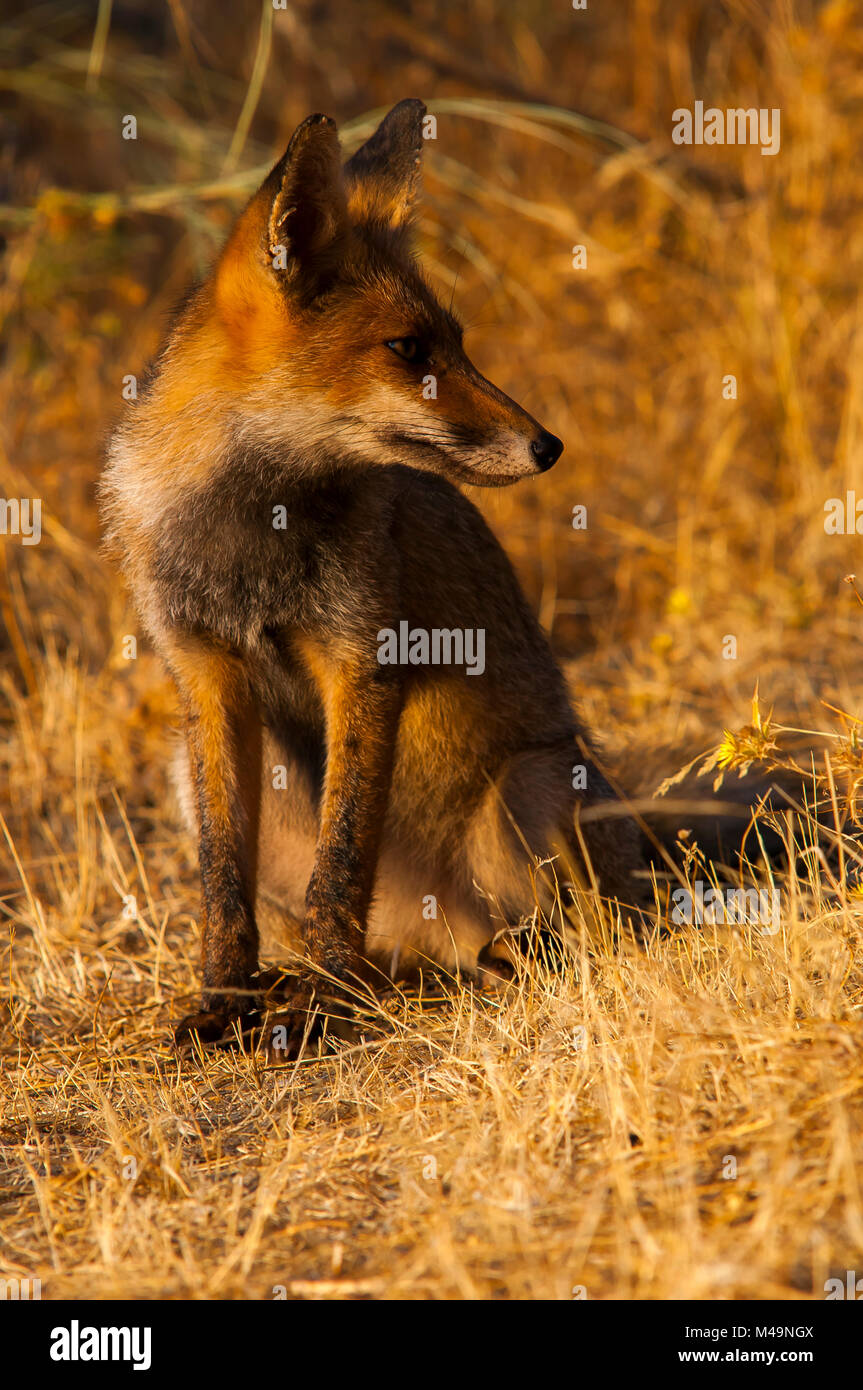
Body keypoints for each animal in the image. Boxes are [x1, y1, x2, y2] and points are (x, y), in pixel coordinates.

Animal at [100, 99, 700, 1051]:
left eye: (456, 344)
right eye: (408, 348)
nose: (548, 446)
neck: (249, 529)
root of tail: (438, 935)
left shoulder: (360, 659)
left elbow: (342, 863)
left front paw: (326, 1006)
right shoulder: (205, 675)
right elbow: (223, 887)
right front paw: (224, 1000)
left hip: (529, 787)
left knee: (580, 930)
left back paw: (473, 964)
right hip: (183, 774)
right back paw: (348, 978)